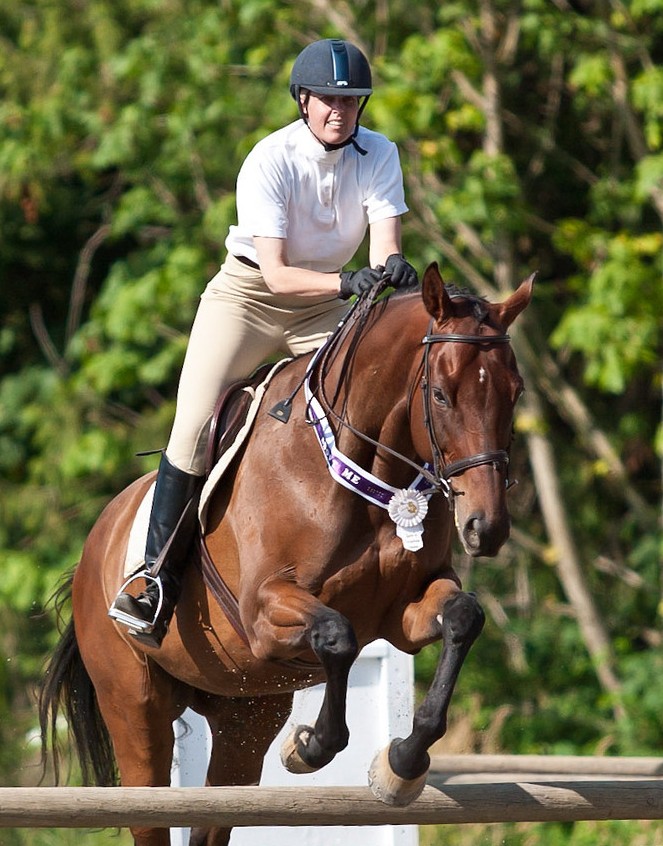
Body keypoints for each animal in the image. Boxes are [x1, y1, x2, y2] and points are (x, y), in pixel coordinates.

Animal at [39, 262, 533, 846]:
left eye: (515, 392)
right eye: (439, 394)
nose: (486, 527)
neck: (361, 474)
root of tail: (96, 542)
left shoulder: (404, 614)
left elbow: (462, 617)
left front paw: (402, 764)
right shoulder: (262, 610)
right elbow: (337, 636)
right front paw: (310, 747)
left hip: (244, 717)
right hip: (136, 709)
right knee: (149, 804)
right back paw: (143, 602)